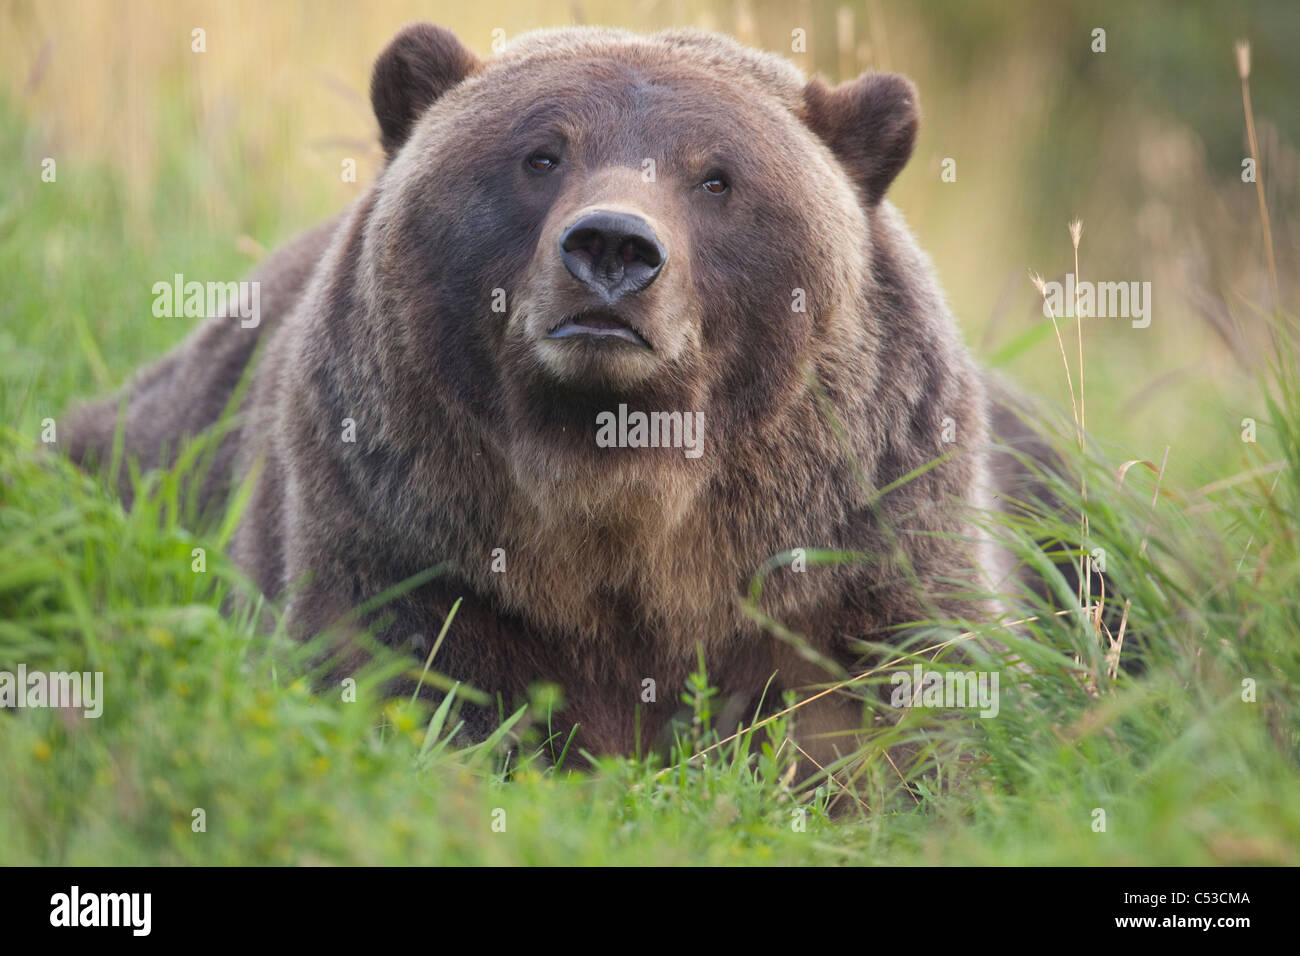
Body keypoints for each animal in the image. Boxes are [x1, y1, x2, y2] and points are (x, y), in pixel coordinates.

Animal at [62, 22, 1050, 768]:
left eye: (717, 177)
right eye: (542, 154)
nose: (612, 245)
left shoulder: (859, 544)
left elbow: (893, 707)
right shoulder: (403, 528)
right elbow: (412, 679)